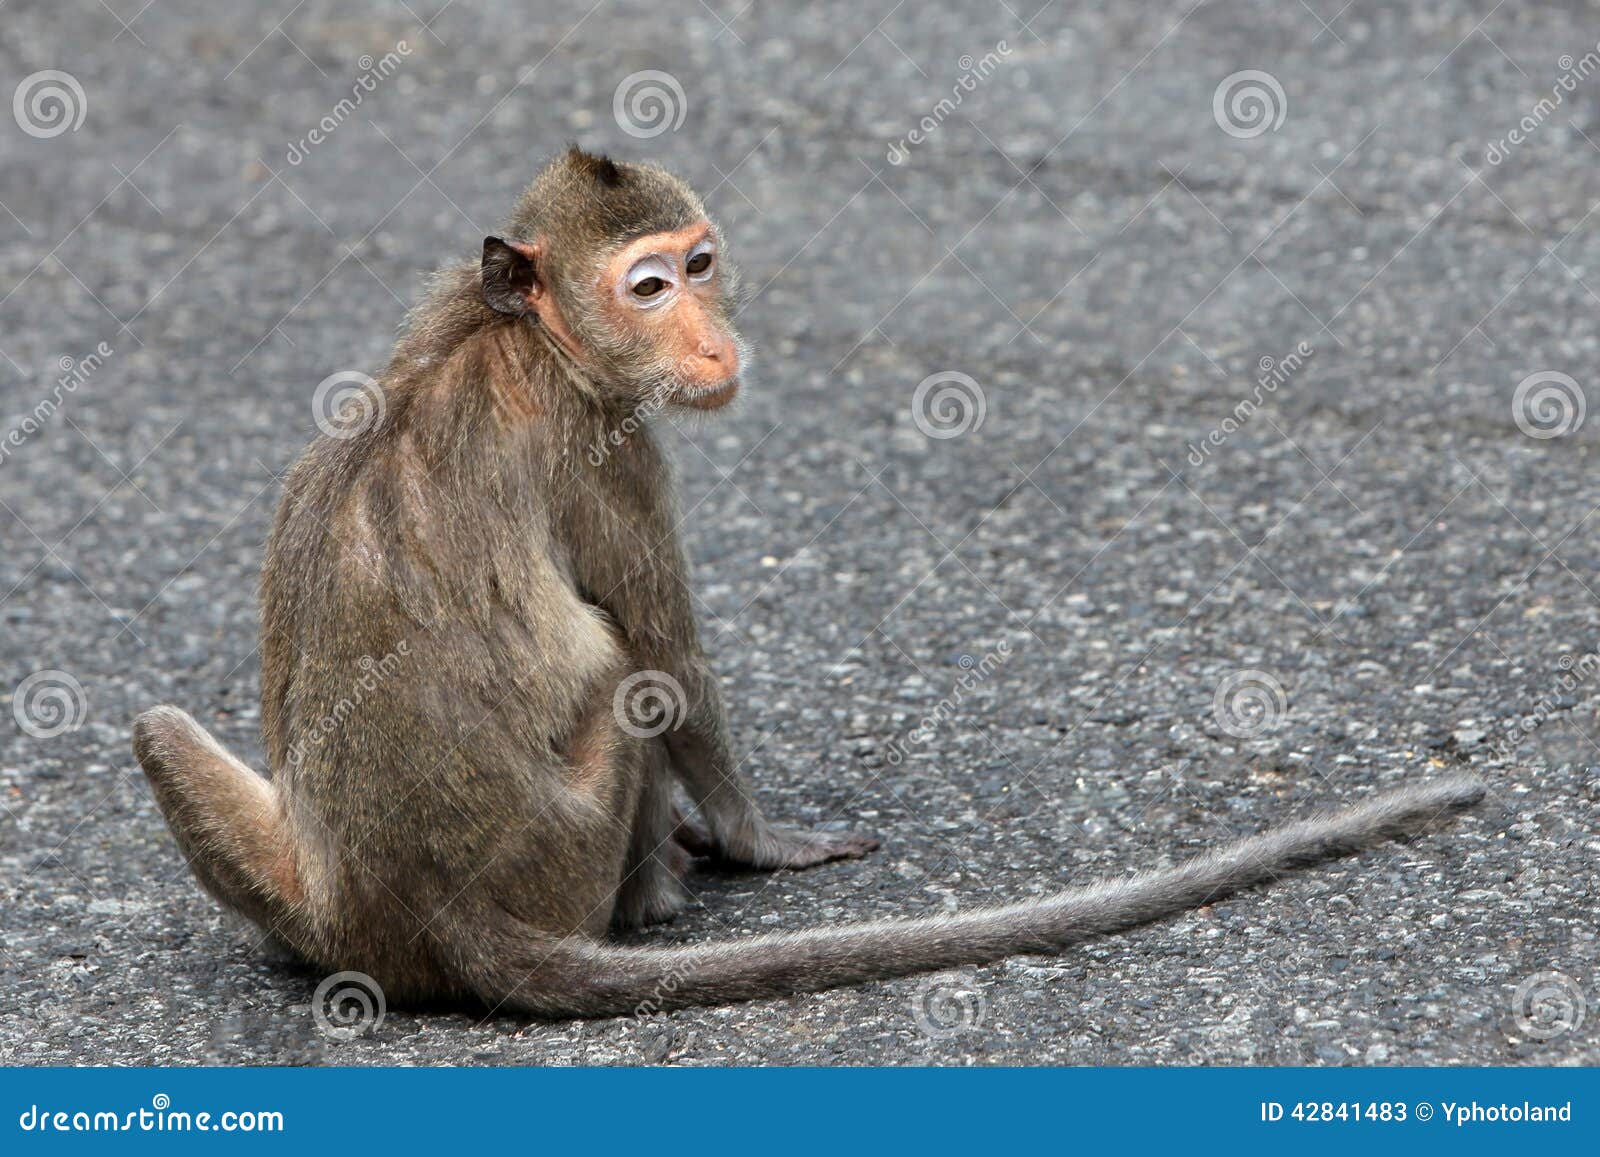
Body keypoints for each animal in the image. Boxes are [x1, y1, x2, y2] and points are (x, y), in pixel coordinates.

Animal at [132, 147, 1486, 1019]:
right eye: (647, 286)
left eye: (701, 264)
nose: (713, 336)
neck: (522, 333)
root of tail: (430, 916)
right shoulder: (609, 452)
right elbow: (664, 654)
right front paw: (760, 839)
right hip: (563, 849)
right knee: (620, 668)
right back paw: (658, 900)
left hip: (311, 884)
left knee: (155, 729)